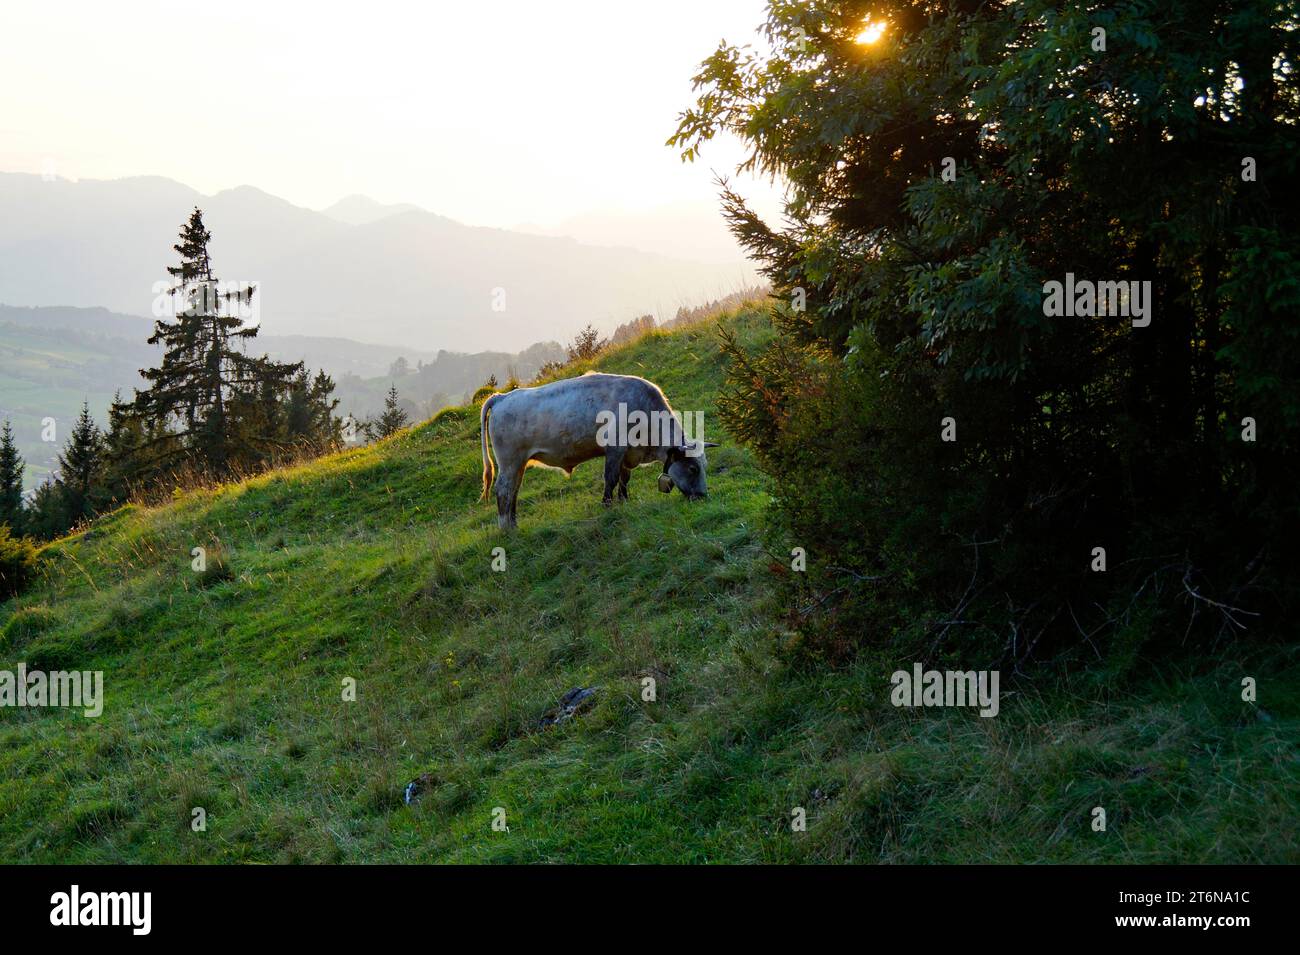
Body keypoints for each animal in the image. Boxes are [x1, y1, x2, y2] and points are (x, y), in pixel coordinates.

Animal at [479, 372, 717, 529]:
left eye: (704, 466)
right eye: (693, 468)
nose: (702, 496)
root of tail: (501, 397)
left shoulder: (627, 453)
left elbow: (624, 479)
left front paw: (624, 501)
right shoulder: (614, 448)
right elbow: (610, 478)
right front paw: (607, 505)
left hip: (519, 464)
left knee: (514, 491)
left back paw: (513, 523)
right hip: (509, 462)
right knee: (503, 490)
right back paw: (506, 528)